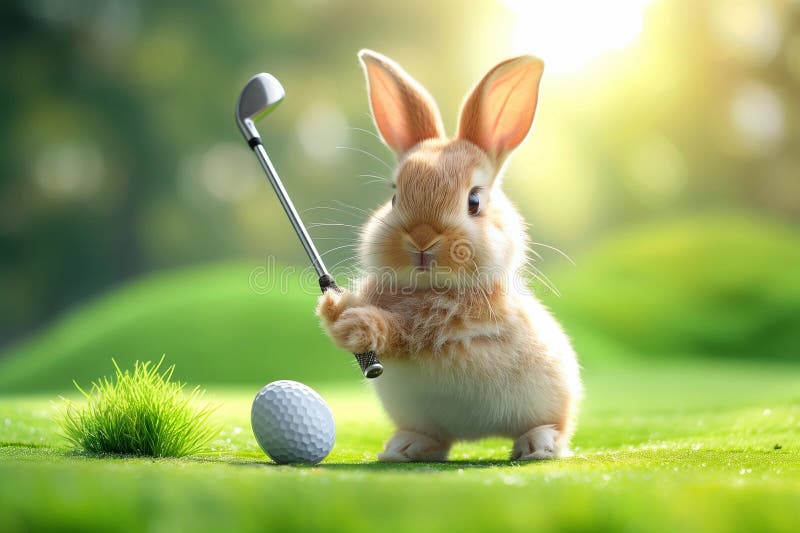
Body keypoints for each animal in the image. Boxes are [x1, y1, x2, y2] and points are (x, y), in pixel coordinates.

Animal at [316, 49, 582, 462]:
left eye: (474, 201)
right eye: (394, 198)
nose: (422, 240)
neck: (428, 286)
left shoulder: (446, 324)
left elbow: (403, 332)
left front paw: (359, 324)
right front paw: (335, 307)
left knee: (554, 426)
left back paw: (538, 445)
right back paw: (406, 448)